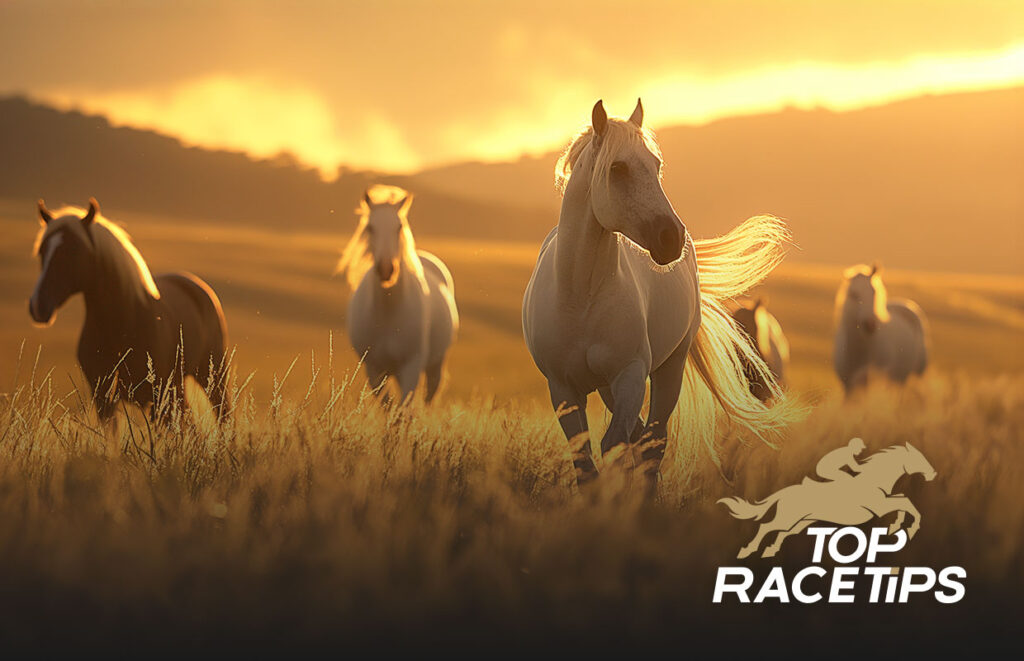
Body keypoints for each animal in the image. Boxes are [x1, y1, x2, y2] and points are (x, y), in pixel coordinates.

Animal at [28, 198, 230, 422]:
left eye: (74, 249)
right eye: (42, 250)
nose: (38, 306)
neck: (121, 326)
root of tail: (198, 287)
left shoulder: (157, 396)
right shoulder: (104, 400)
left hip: (211, 378)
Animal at [336, 185, 458, 404]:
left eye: (399, 226)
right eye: (370, 227)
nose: (386, 269)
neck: (388, 313)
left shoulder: (411, 367)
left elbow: (405, 407)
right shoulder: (374, 371)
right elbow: (390, 407)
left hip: (434, 365)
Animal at [522, 99, 799, 492]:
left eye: (656, 165)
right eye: (618, 168)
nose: (672, 237)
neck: (580, 296)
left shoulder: (630, 375)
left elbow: (616, 445)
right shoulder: (563, 388)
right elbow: (587, 462)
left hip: (669, 369)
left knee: (653, 441)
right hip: (608, 386)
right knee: (642, 439)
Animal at [719, 442, 937, 558]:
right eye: (918, 458)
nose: (933, 474)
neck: (875, 480)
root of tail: (784, 492)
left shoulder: (885, 502)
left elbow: (903, 500)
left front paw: (896, 526)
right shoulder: (880, 506)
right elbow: (905, 502)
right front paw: (909, 528)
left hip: (802, 522)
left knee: (783, 533)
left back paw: (770, 551)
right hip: (787, 518)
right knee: (767, 527)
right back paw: (747, 550)